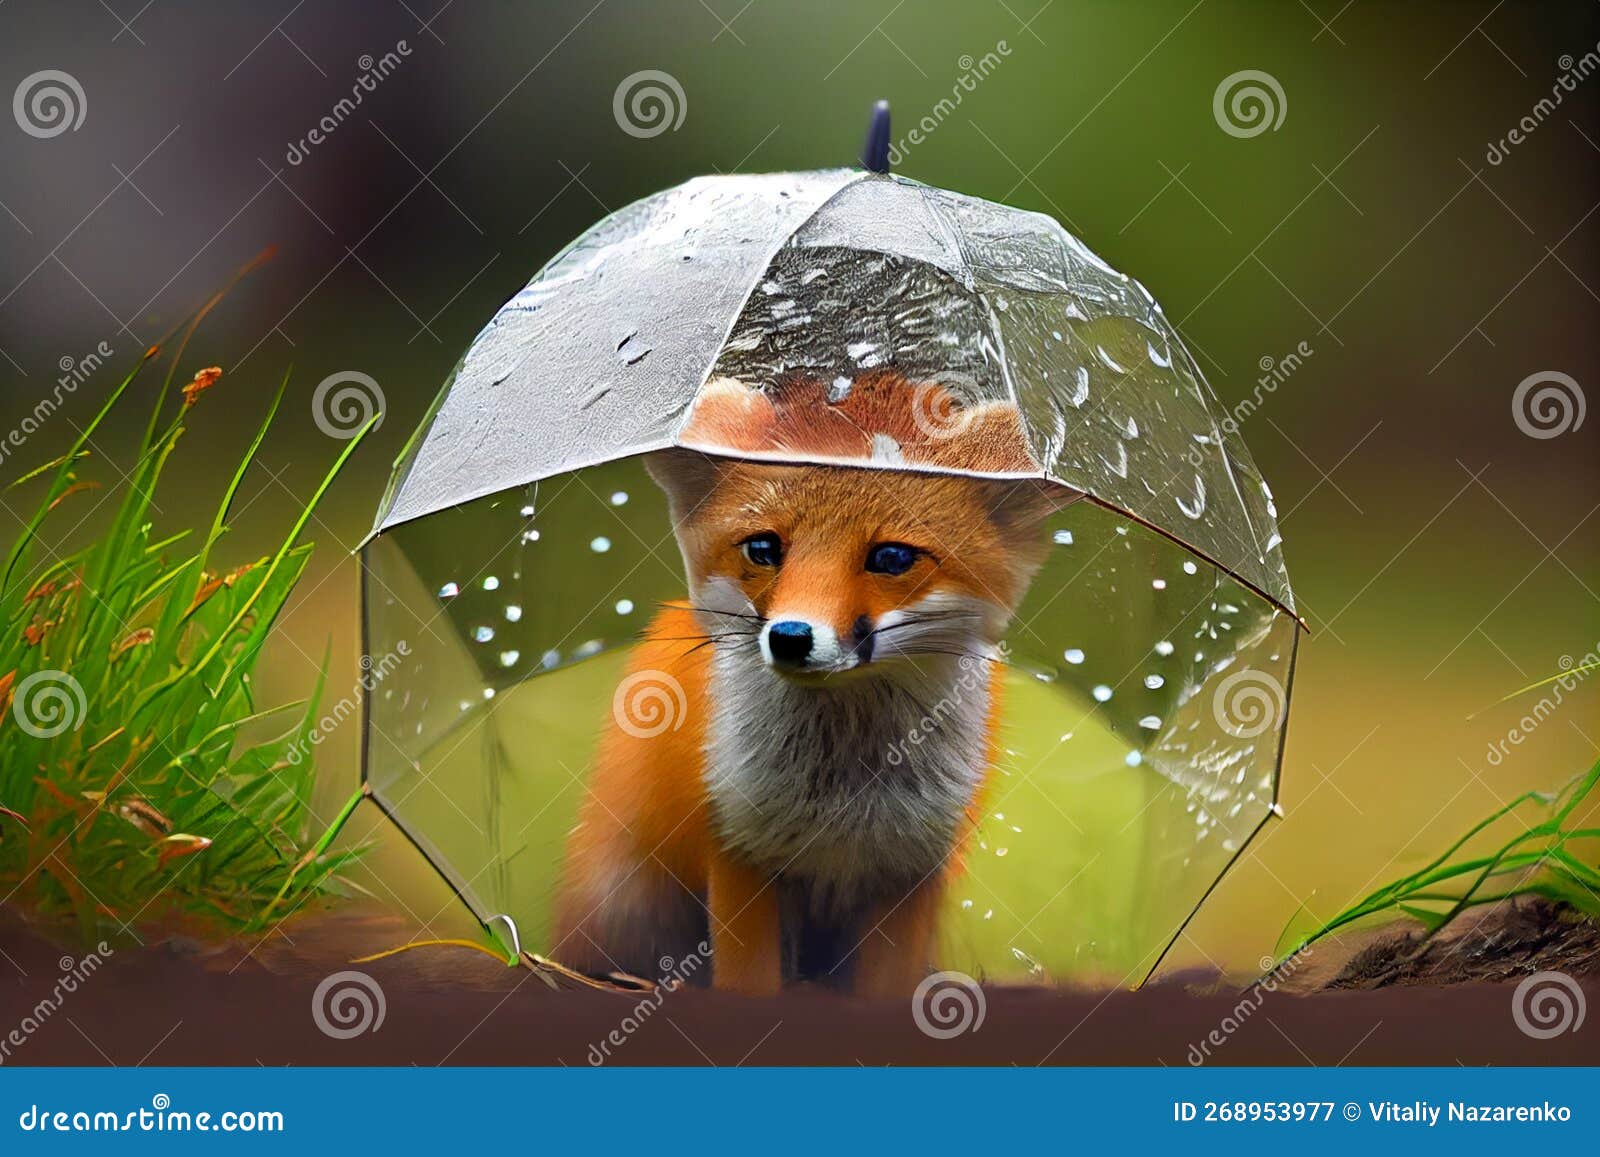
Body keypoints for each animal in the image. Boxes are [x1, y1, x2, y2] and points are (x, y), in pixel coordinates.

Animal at [553, 370, 1071, 996]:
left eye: (891, 557)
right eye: (763, 548)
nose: (791, 637)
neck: (839, 798)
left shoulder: (910, 868)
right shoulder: (738, 849)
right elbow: (750, 983)